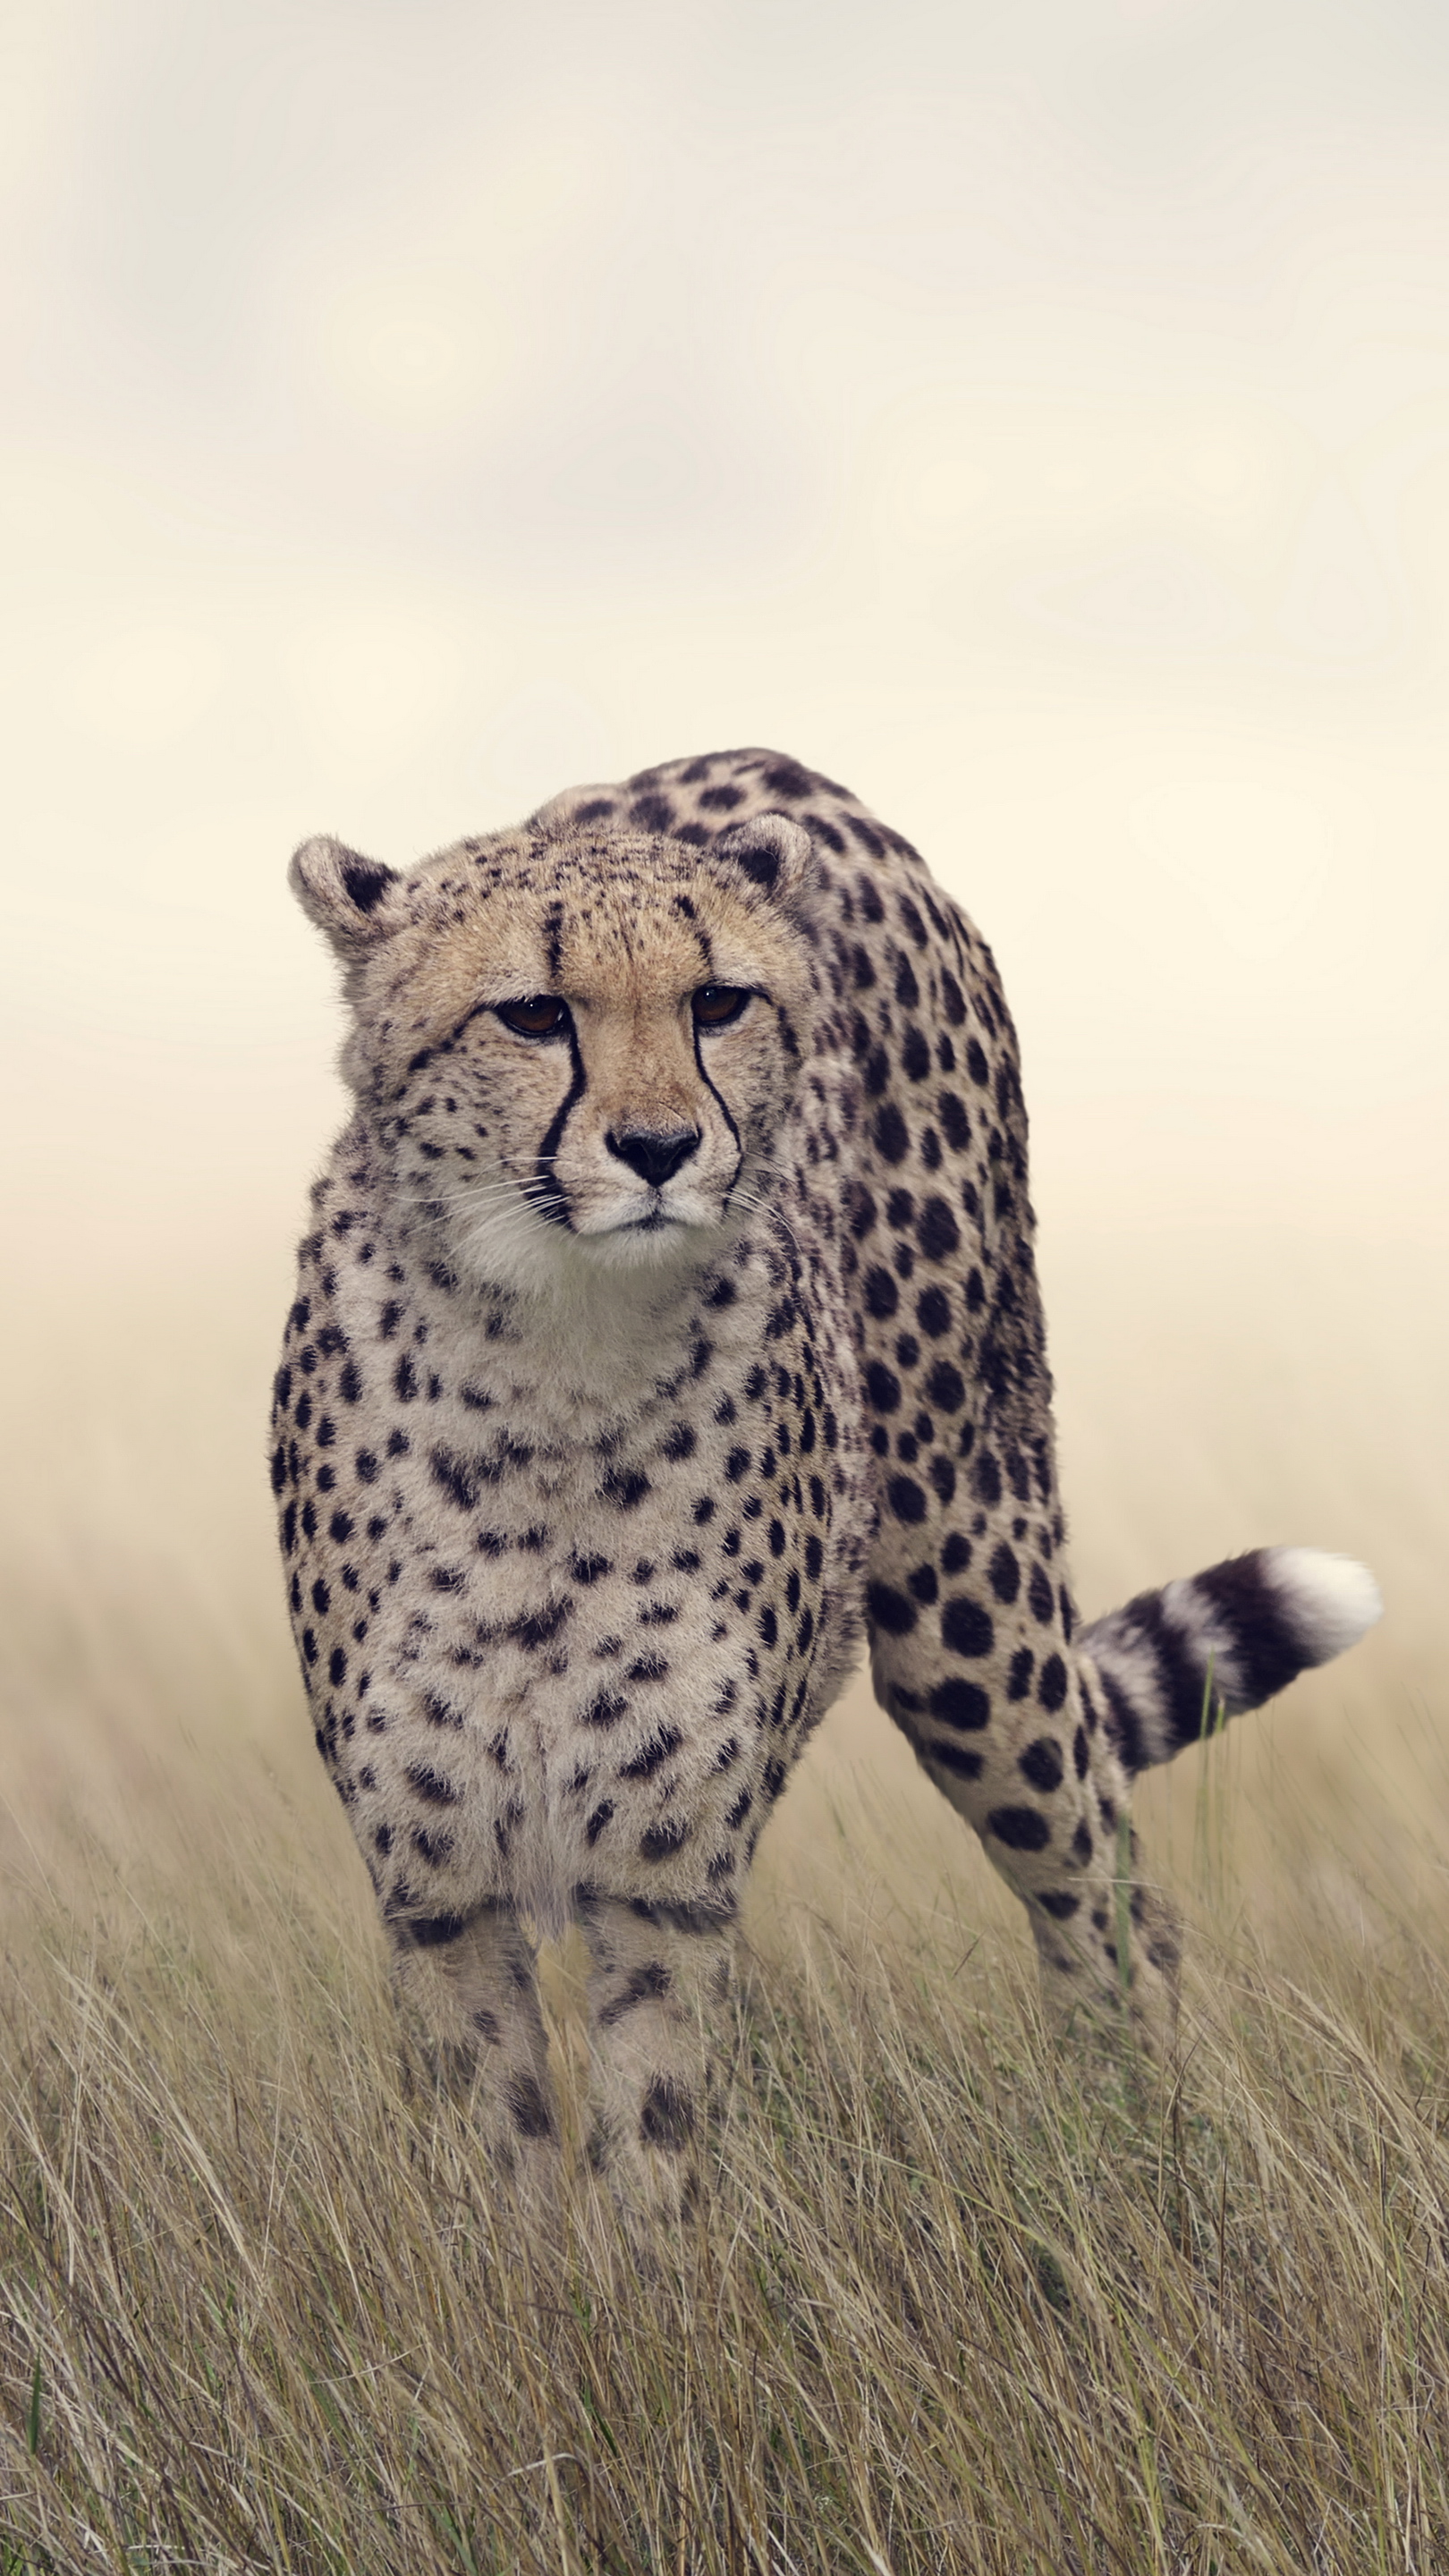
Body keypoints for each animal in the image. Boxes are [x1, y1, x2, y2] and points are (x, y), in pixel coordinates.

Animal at [272, 744, 1381, 2224]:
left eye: (718, 1002)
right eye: (533, 1014)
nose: (660, 1148)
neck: (555, 1362)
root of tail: (772, 766)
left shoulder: (666, 1882)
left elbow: (650, 2166)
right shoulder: (440, 1893)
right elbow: (500, 2178)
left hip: (971, 1605)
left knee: (1102, 1885)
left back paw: (1136, 2165)